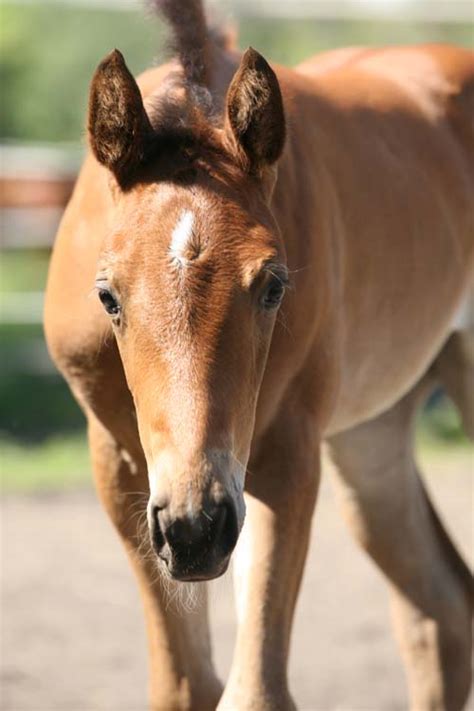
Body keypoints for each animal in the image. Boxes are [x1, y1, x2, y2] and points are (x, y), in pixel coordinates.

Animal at [44, 1, 474, 708]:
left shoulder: (285, 455)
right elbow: (186, 685)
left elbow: (255, 690)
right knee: (439, 612)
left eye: (273, 285)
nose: (195, 527)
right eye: (106, 295)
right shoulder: (121, 466)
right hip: (370, 436)